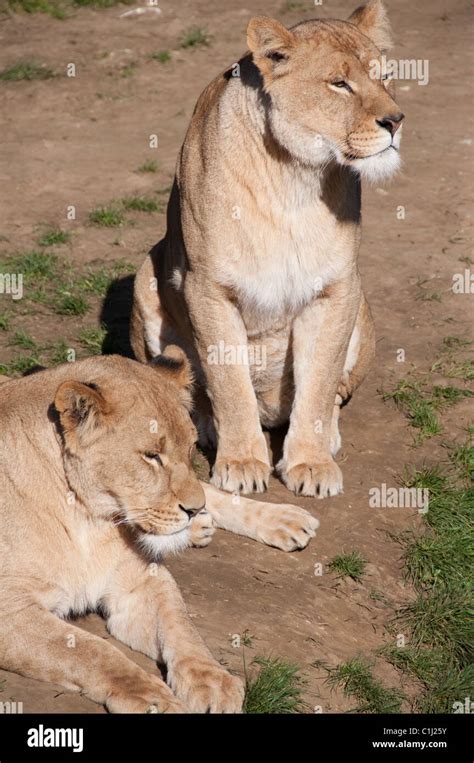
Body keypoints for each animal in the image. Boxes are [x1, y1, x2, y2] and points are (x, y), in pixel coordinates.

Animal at [0, 349, 318, 713]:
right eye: (151, 456)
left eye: (191, 447)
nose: (193, 508)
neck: (89, 517)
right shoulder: (10, 610)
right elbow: (92, 651)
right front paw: (153, 697)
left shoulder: (141, 580)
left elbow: (181, 625)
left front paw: (212, 681)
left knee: (212, 492)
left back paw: (282, 519)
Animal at [131, 1, 404, 498]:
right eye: (339, 83)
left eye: (387, 77)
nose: (396, 121)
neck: (294, 176)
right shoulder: (208, 287)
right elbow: (229, 384)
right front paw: (240, 463)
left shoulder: (336, 287)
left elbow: (319, 383)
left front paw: (310, 463)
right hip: (146, 278)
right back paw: (208, 427)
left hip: (361, 305)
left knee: (334, 393)